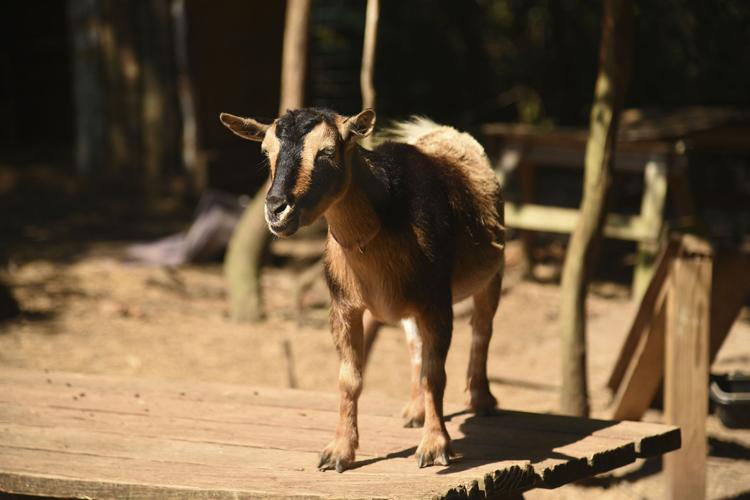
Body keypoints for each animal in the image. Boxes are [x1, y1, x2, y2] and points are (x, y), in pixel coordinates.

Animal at [220, 108, 505, 472]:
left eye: (327, 152)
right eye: (266, 152)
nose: (276, 209)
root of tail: (444, 131)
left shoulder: (436, 301)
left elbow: (436, 374)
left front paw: (434, 447)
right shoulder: (344, 307)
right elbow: (350, 377)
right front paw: (338, 452)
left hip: (493, 272)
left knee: (482, 329)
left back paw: (482, 401)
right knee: (416, 345)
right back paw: (415, 411)